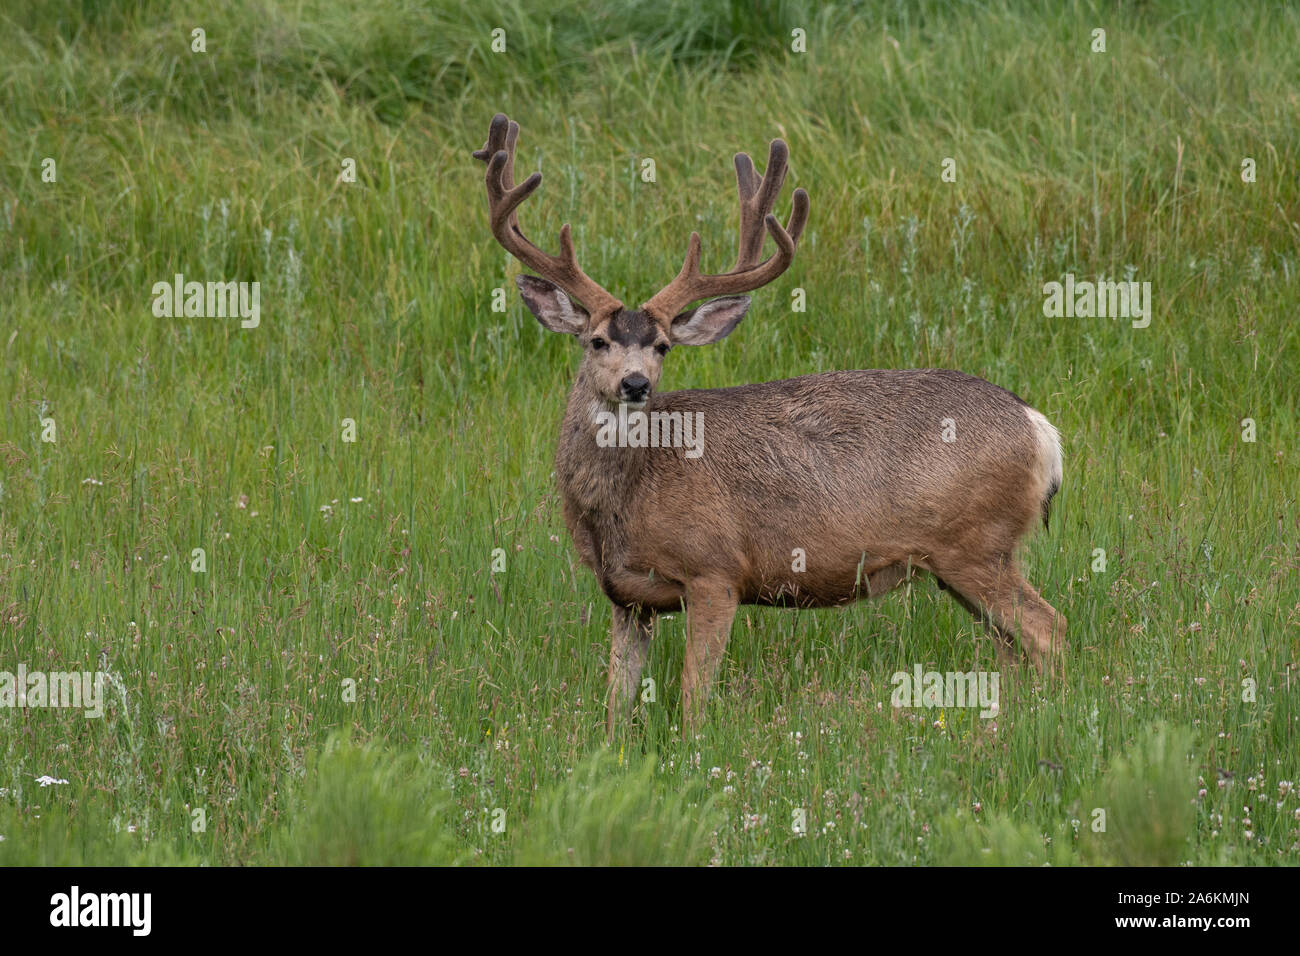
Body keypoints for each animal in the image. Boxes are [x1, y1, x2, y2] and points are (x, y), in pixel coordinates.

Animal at [472, 113, 1066, 737]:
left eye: (662, 346)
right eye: (596, 341)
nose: (636, 385)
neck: (625, 502)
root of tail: (1040, 429)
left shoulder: (716, 570)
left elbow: (693, 697)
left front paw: (693, 751)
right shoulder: (625, 597)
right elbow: (615, 704)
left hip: (975, 544)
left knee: (1048, 629)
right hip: (964, 563)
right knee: (1011, 647)